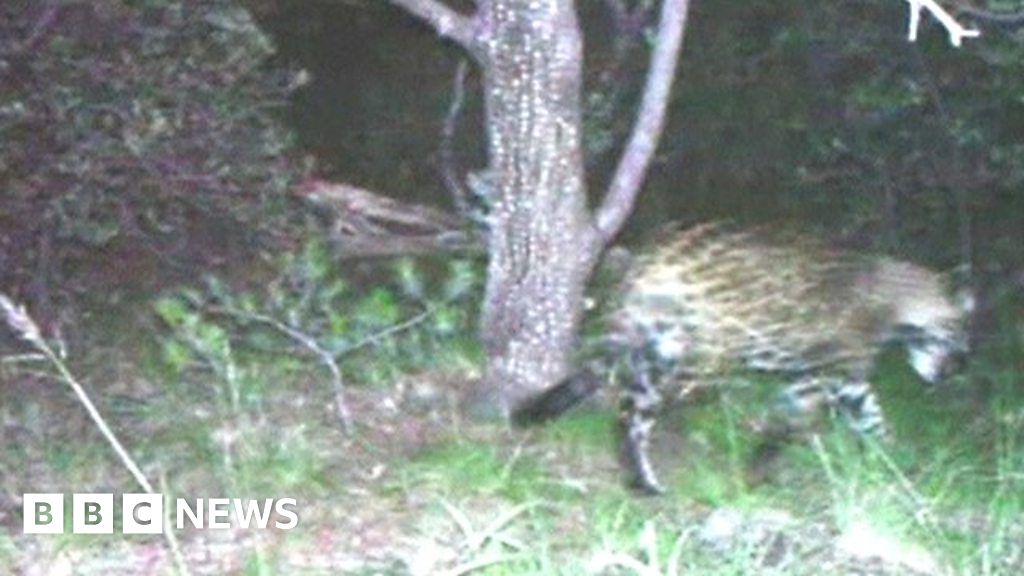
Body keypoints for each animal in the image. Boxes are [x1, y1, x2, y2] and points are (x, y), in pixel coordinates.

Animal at [514, 222, 973, 493]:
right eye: (959, 342)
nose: (950, 374)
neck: (897, 305)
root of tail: (652, 256)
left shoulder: (847, 379)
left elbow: (873, 415)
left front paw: (893, 459)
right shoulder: (821, 375)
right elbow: (789, 424)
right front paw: (760, 469)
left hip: (652, 345)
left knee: (628, 405)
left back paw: (639, 477)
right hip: (699, 356)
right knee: (644, 408)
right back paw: (653, 466)